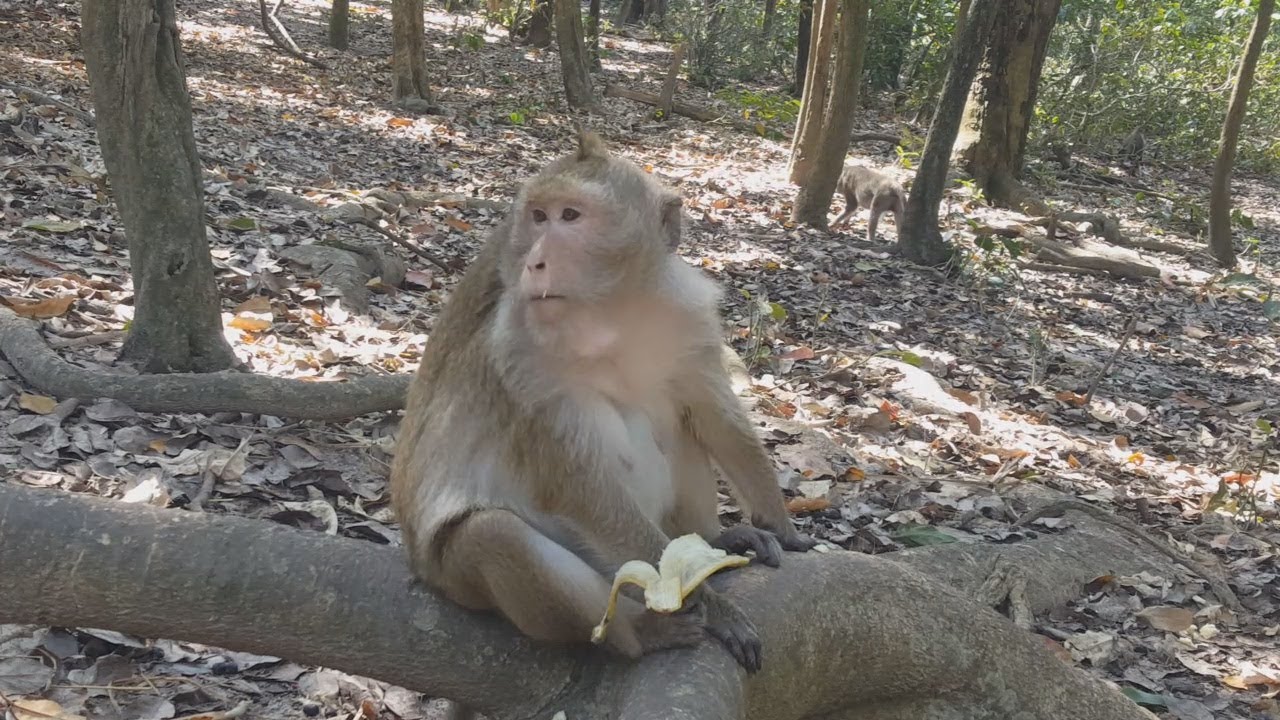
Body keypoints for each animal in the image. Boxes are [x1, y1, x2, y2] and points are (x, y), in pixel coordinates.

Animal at [390, 128, 816, 718]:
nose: (536, 263)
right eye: (539, 216)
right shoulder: (521, 355)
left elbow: (714, 415)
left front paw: (782, 527)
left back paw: (715, 538)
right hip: (458, 577)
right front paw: (715, 610)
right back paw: (633, 637)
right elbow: (583, 492)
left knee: (674, 417)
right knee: (494, 534)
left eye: (571, 216)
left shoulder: (685, 317)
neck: (613, 317)